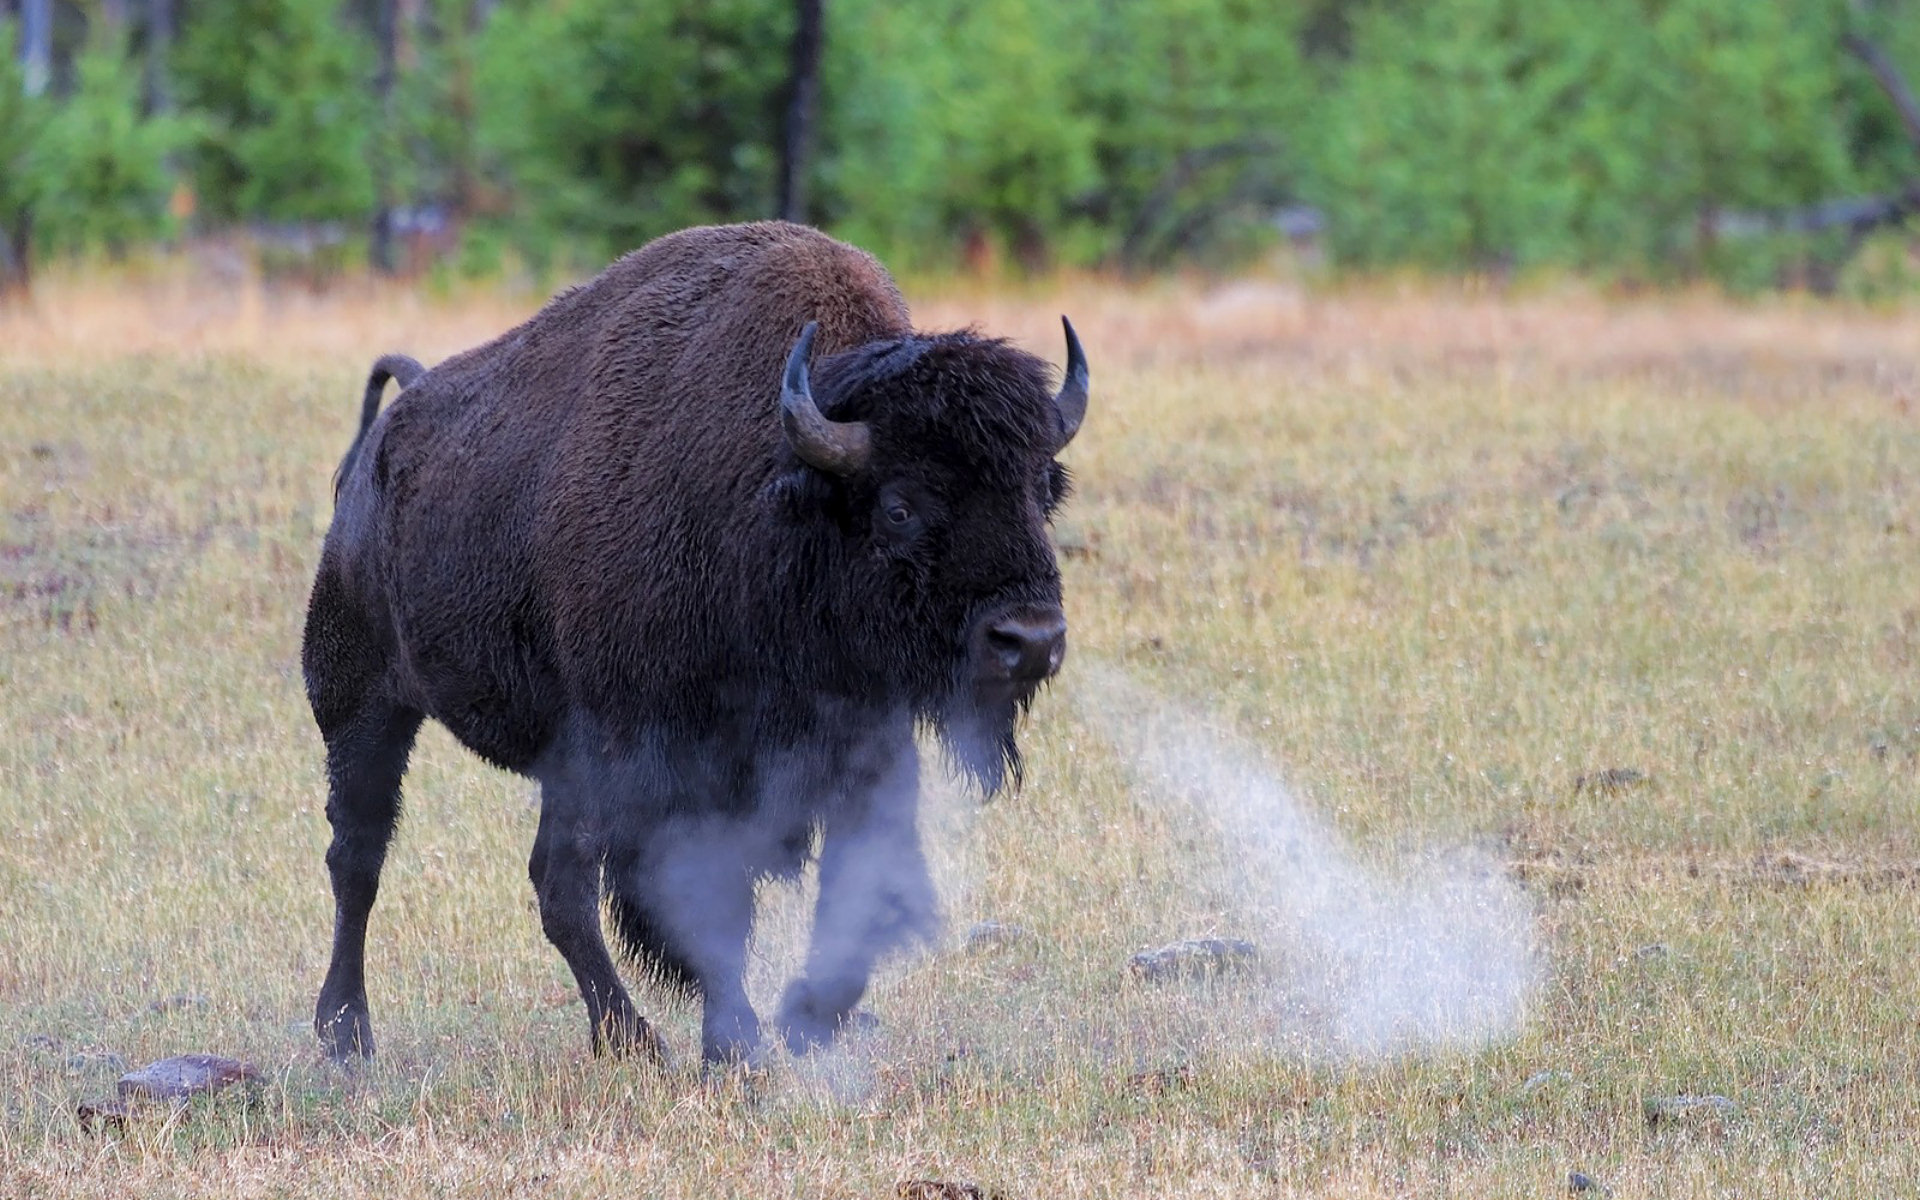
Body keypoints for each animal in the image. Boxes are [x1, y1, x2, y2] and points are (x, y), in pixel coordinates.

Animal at [303, 222, 1089, 1066]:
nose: (1030, 640)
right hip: (362, 705)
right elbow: (710, 901)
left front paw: (806, 1019)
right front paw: (737, 1044)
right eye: (900, 506)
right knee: (362, 856)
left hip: (561, 758)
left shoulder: (863, 742)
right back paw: (351, 1032)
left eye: (1042, 491)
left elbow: (855, 882)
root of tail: (379, 449)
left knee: (554, 880)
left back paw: (625, 1037)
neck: (777, 495)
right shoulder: (679, 764)